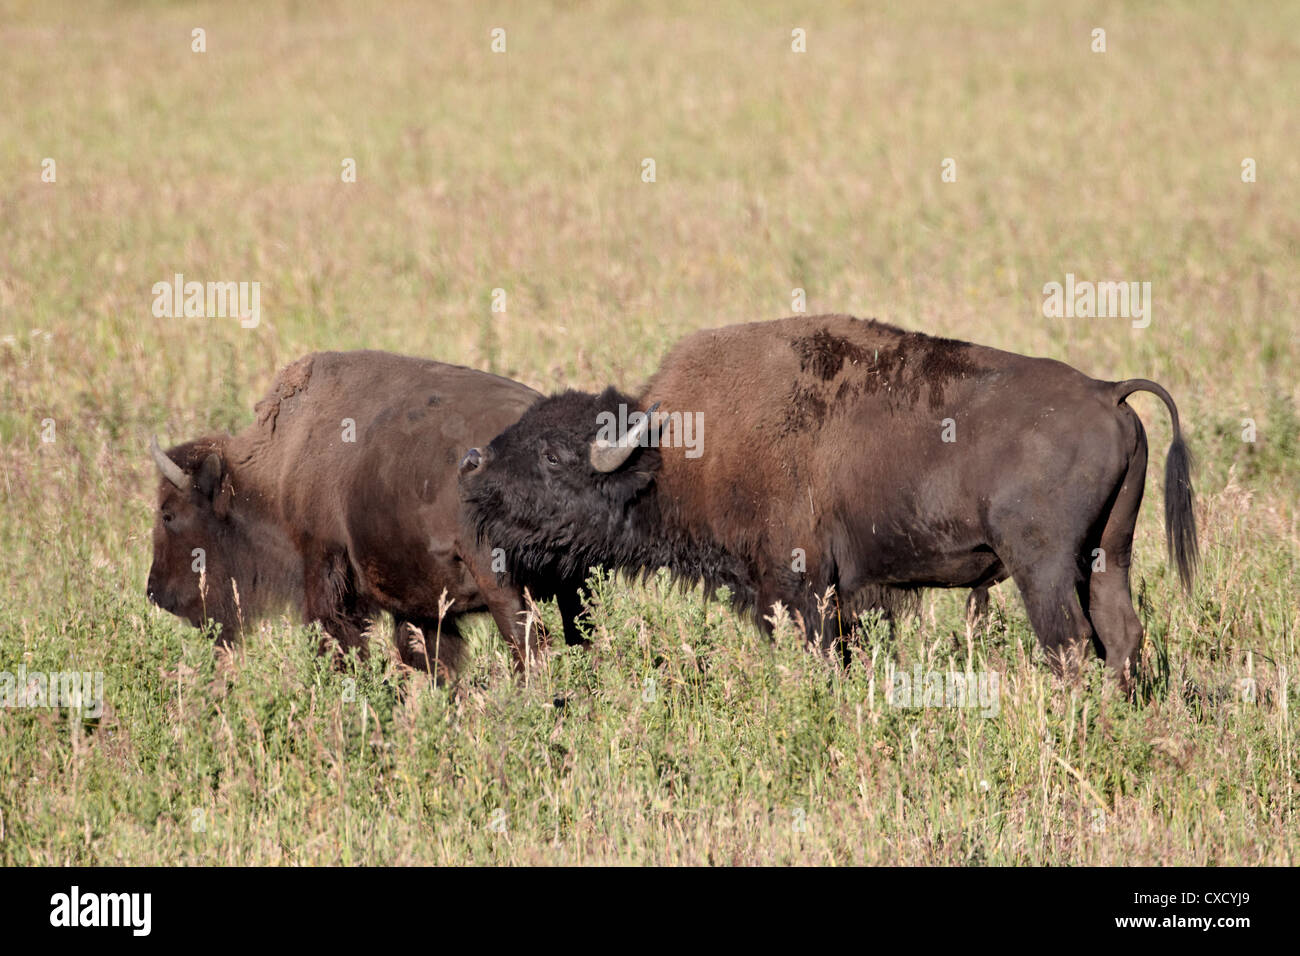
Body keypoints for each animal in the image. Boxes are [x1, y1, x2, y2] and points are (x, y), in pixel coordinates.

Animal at [147, 350, 586, 679]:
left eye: (169, 514)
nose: (154, 591)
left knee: (528, 648)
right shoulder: (419, 605)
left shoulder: (323, 572)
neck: (283, 462)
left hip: (505, 586)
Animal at [459, 315, 1198, 690]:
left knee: (1069, 644)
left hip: (1040, 567)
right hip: (1107, 555)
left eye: (554, 457)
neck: (673, 453)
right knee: (1120, 635)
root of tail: (1107, 392)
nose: (473, 468)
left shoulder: (797, 588)